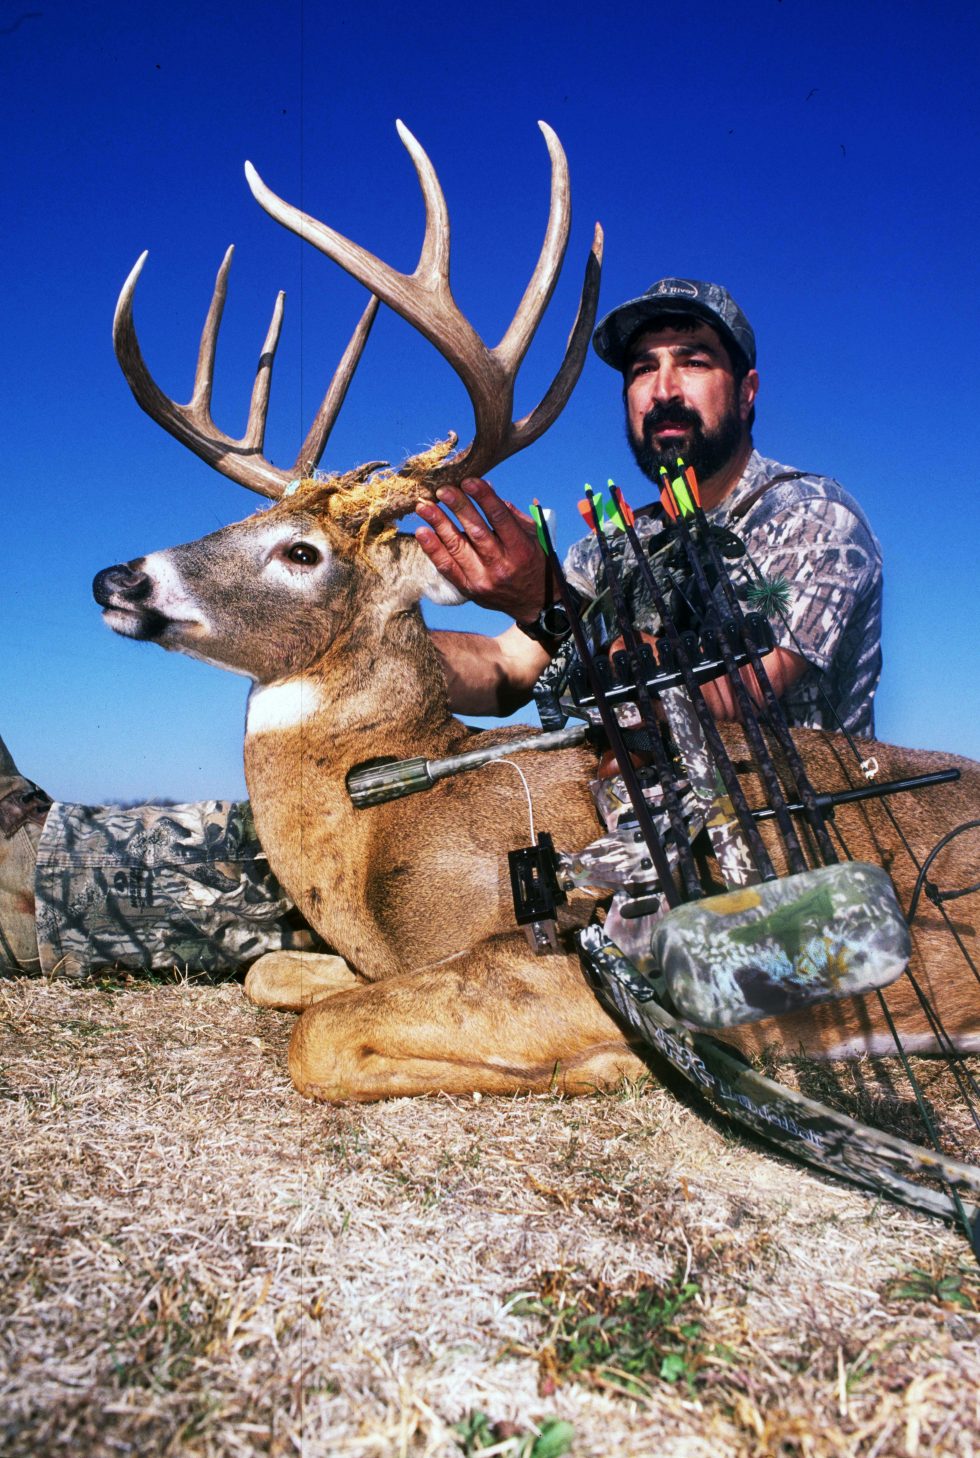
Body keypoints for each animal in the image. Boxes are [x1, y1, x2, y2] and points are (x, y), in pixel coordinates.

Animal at [95, 123, 980, 1103]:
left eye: (301, 552)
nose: (116, 579)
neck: (371, 832)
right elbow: (271, 971)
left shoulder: (564, 946)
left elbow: (320, 1038)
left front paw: (608, 1061)